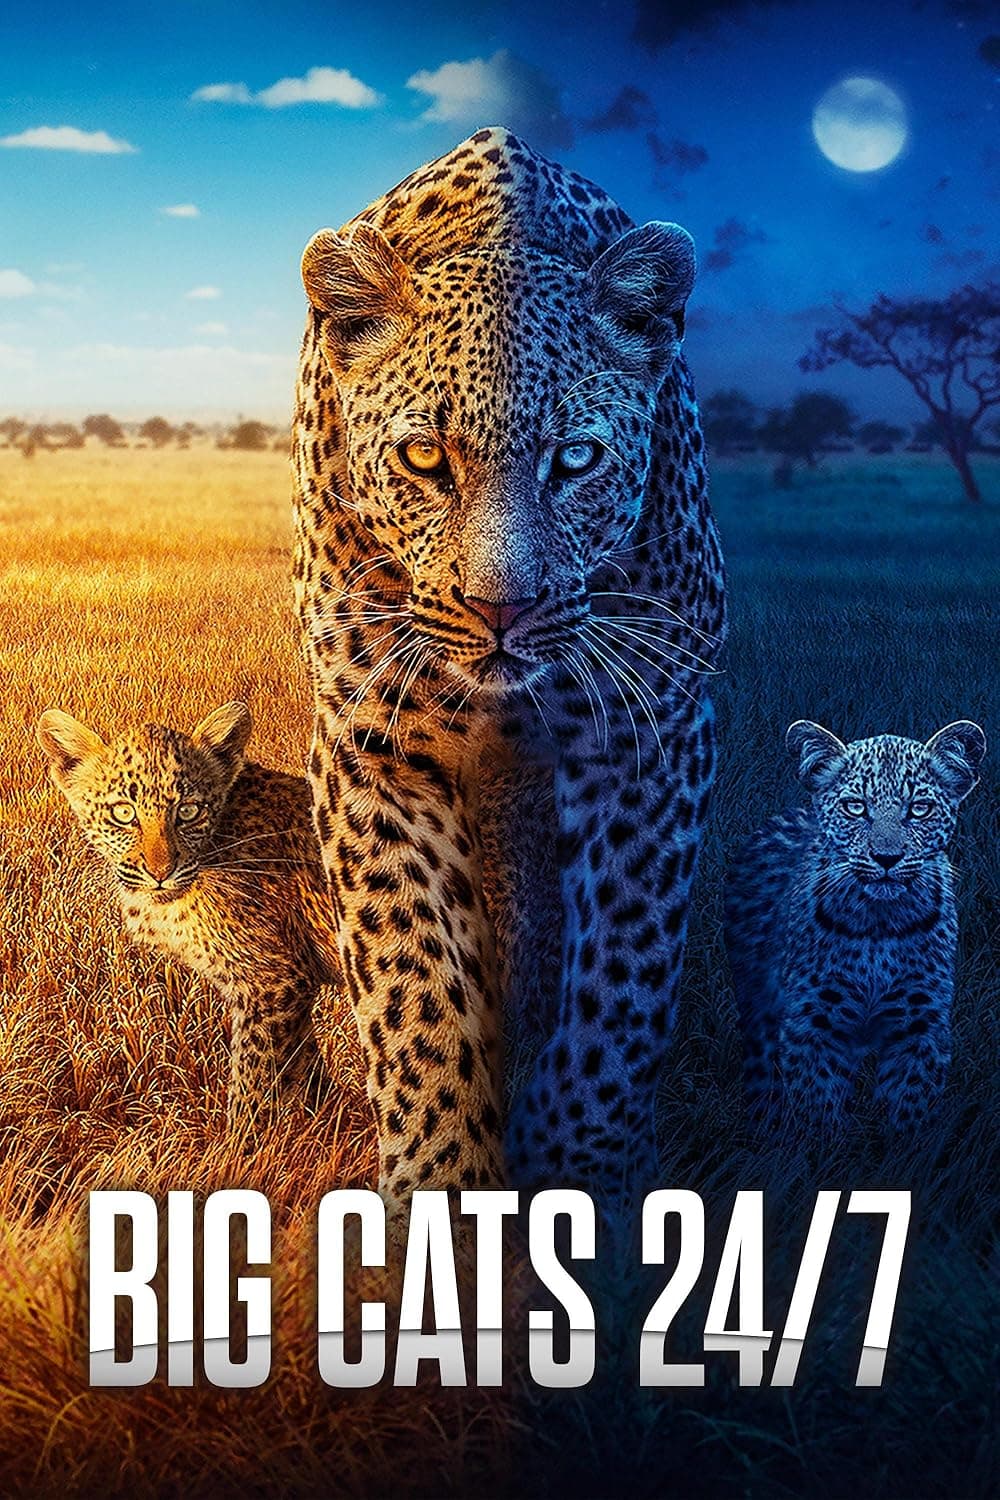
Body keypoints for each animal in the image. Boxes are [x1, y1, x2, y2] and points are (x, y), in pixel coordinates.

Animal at [37, 701, 342, 1128]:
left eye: (189, 811)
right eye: (123, 812)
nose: (160, 872)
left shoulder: (274, 981)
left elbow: (254, 1082)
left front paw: (240, 1143)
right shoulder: (288, 987)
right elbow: (304, 1063)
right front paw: (320, 1119)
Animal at [292, 125, 725, 1205]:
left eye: (573, 460)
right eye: (423, 460)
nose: (503, 610)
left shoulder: (655, 734)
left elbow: (621, 981)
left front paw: (584, 1173)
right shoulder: (373, 749)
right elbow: (413, 986)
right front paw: (440, 1191)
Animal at [725, 718, 986, 1129]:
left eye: (920, 809)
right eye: (855, 807)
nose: (886, 858)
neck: (879, 924)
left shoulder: (921, 1021)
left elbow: (910, 1109)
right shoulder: (814, 1020)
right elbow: (816, 1103)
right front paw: (818, 1140)